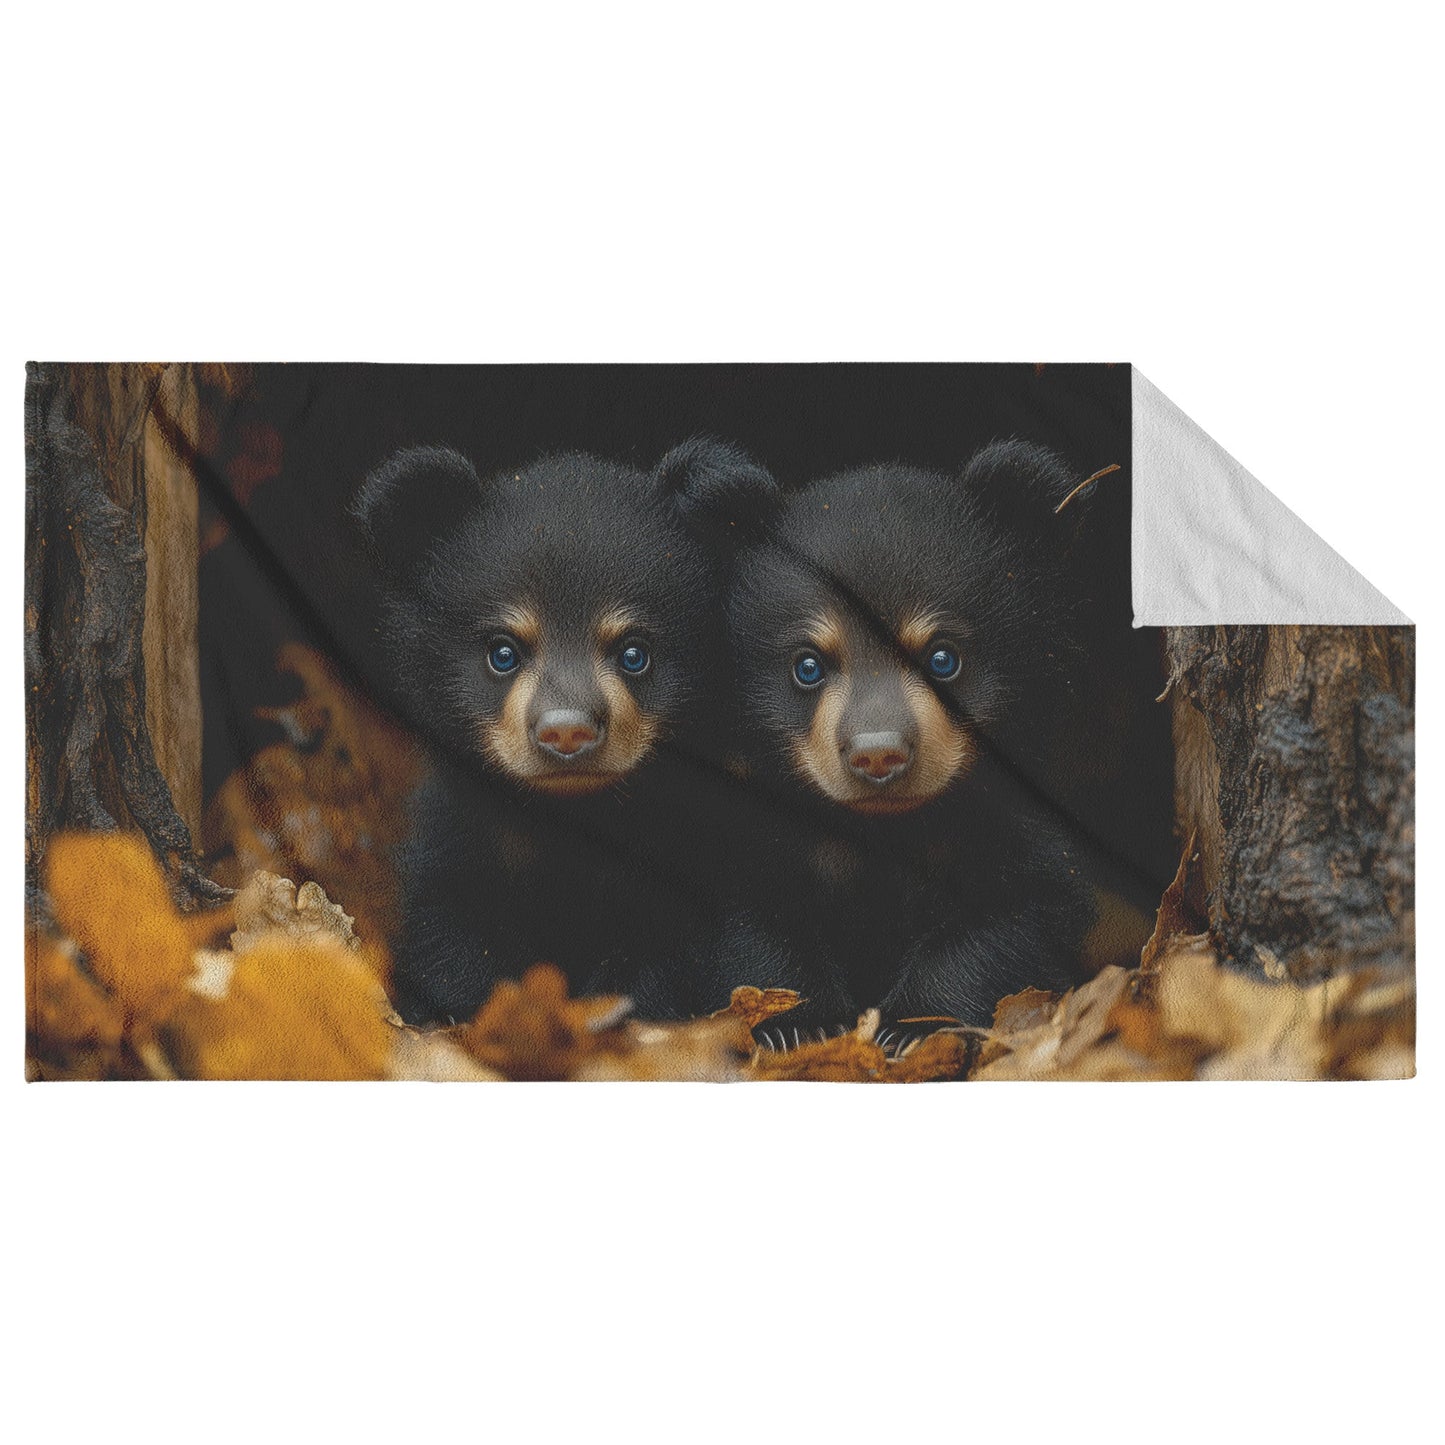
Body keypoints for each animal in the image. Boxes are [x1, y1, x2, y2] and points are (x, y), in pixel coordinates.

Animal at [351, 437, 776, 1026]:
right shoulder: (458, 842)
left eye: (634, 653)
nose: (567, 733)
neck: (572, 824)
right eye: (503, 652)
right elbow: (449, 942)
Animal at [723, 440, 1109, 1051]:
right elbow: (754, 913)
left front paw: (907, 1033)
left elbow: (1007, 920)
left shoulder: (1018, 843)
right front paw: (797, 1027)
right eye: (807, 666)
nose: (877, 754)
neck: (885, 830)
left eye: (942, 658)